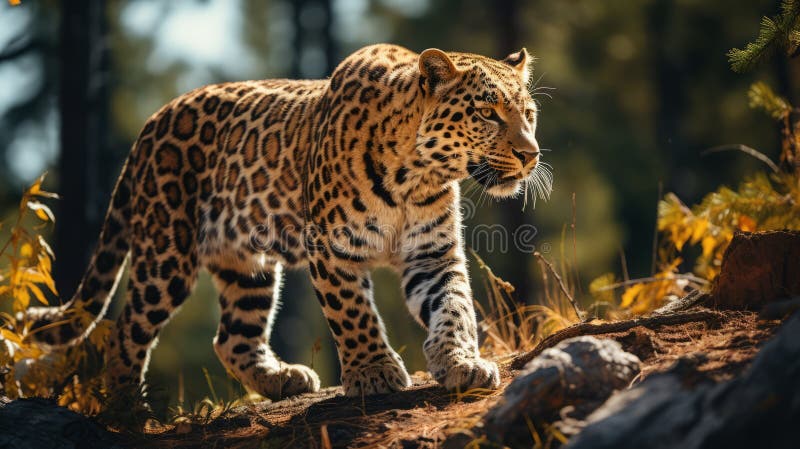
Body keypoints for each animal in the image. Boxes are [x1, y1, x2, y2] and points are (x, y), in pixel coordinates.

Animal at [28, 44, 548, 400]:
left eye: (528, 113)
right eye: (487, 113)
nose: (531, 154)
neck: (416, 175)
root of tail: (151, 123)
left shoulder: (433, 255)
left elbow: (454, 308)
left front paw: (461, 363)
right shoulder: (333, 250)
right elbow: (353, 314)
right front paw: (374, 373)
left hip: (247, 266)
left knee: (231, 337)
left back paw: (282, 379)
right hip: (165, 255)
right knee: (126, 330)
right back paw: (126, 411)